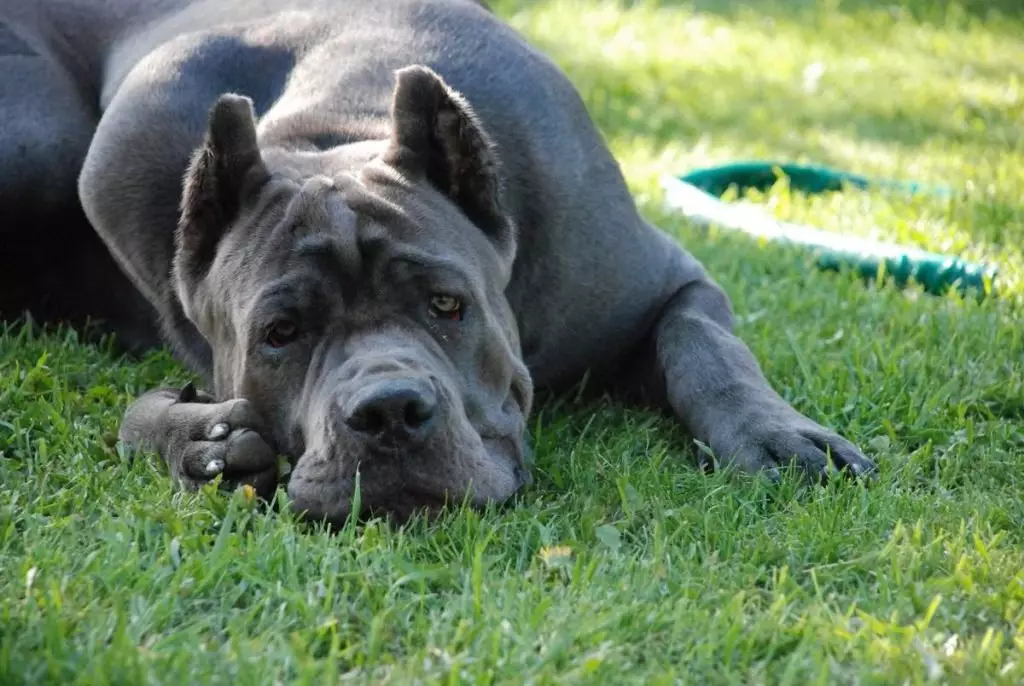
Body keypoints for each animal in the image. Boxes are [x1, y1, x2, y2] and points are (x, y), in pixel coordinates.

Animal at [4, 0, 876, 524]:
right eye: (281, 333)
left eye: (447, 304)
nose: (388, 412)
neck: (335, 133)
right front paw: (198, 444)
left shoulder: (668, 281)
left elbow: (706, 347)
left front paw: (775, 436)